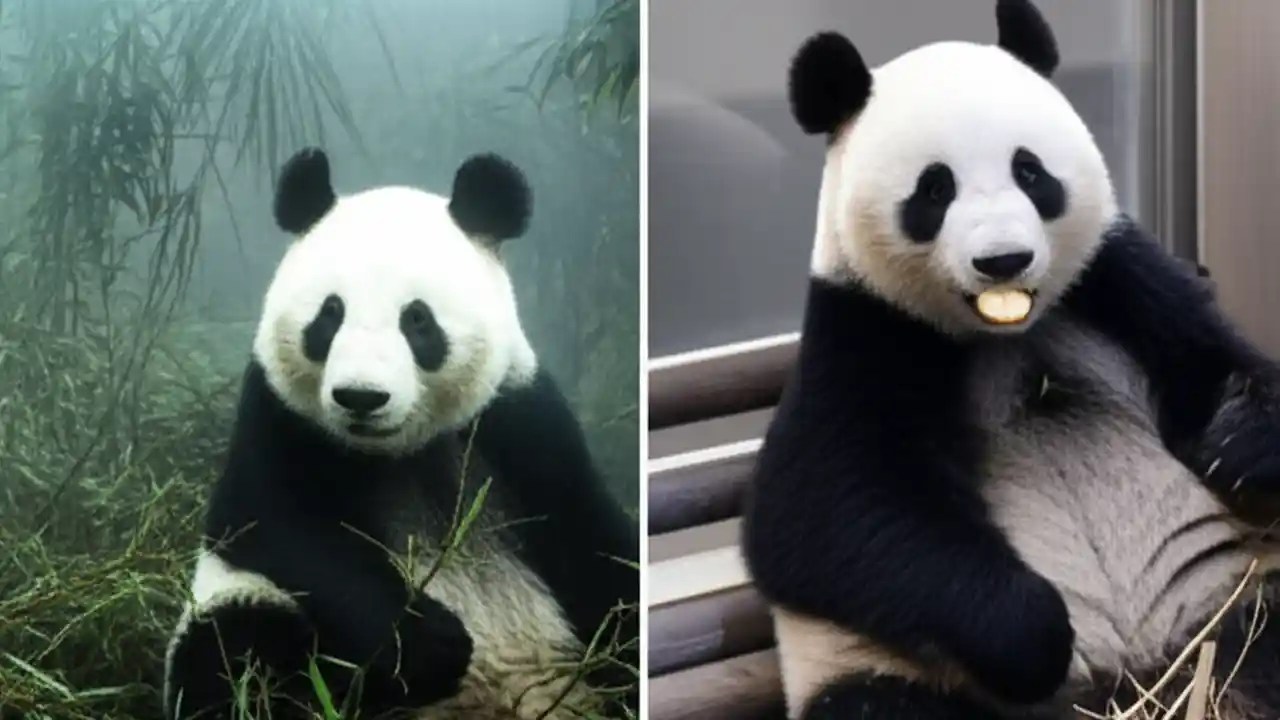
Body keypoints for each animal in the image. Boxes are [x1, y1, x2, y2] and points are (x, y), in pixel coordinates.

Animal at [163, 147, 638, 720]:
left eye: (417, 320)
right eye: (330, 315)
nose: (361, 397)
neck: (402, 450)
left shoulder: (519, 422)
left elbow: (598, 548)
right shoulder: (278, 415)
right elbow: (278, 522)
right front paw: (431, 645)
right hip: (250, 608)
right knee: (240, 654)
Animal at [740, 2, 1280, 719]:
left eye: (1030, 172)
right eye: (934, 190)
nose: (1004, 261)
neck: (1007, 328)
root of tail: (1136, 682)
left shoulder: (1118, 279)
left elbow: (1215, 359)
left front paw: (1238, 443)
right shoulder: (864, 328)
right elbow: (820, 512)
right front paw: (1035, 634)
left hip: (1235, 601)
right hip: (883, 671)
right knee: (874, 702)